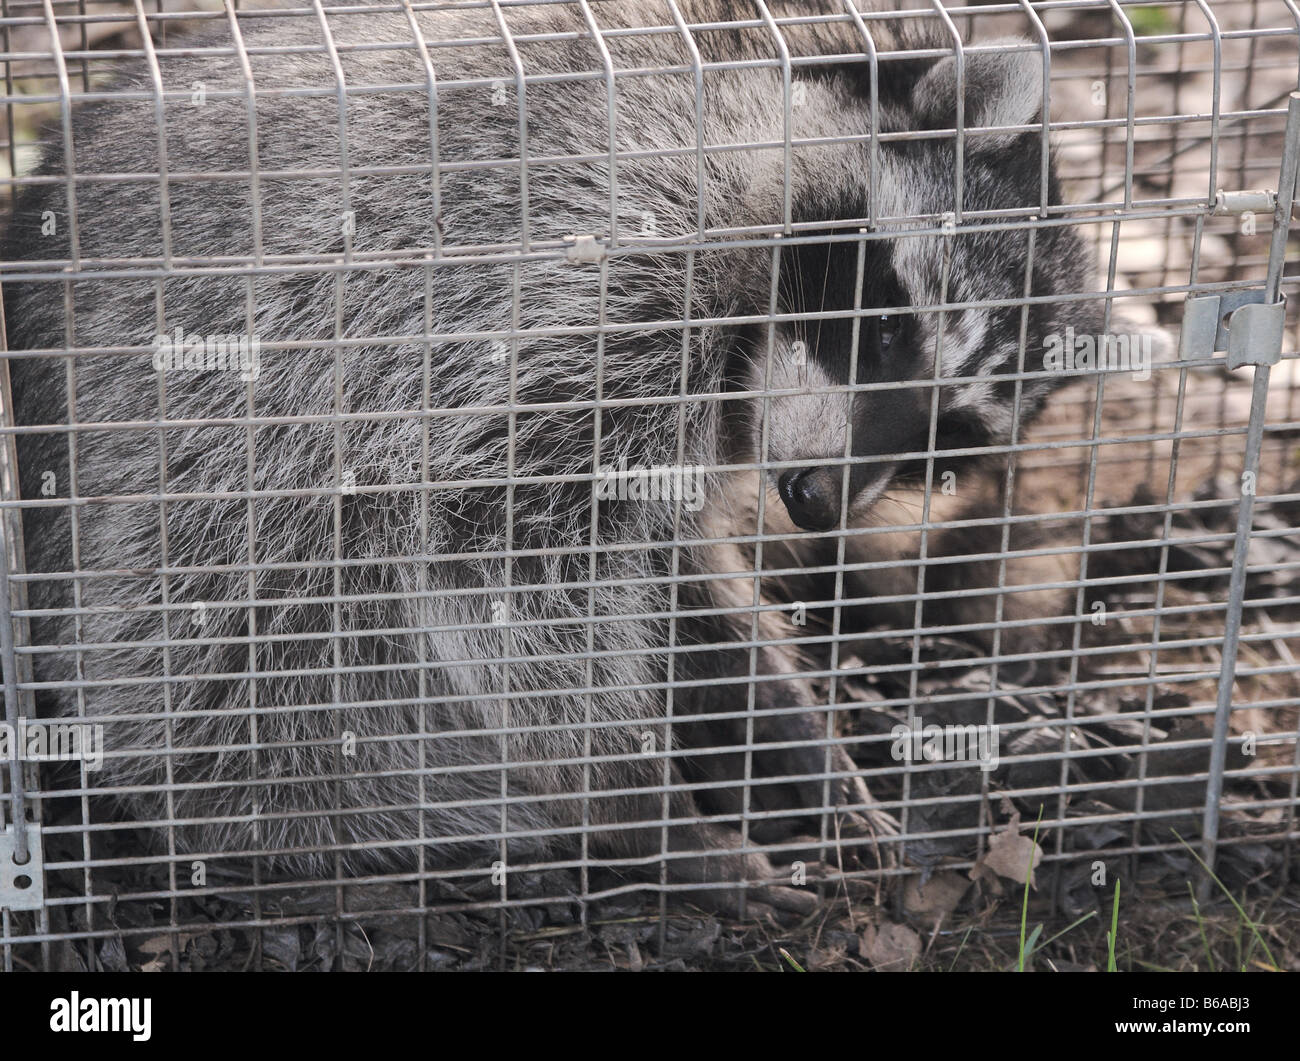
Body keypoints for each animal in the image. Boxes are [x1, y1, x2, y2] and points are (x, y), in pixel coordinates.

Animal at [2, 1, 1110, 918]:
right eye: (885, 331)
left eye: (944, 442)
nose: (812, 499)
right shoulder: (590, 261)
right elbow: (493, 543)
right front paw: (640, 807)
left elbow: (679, 569)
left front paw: (790, 732)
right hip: (184, 504)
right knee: (259, 621)